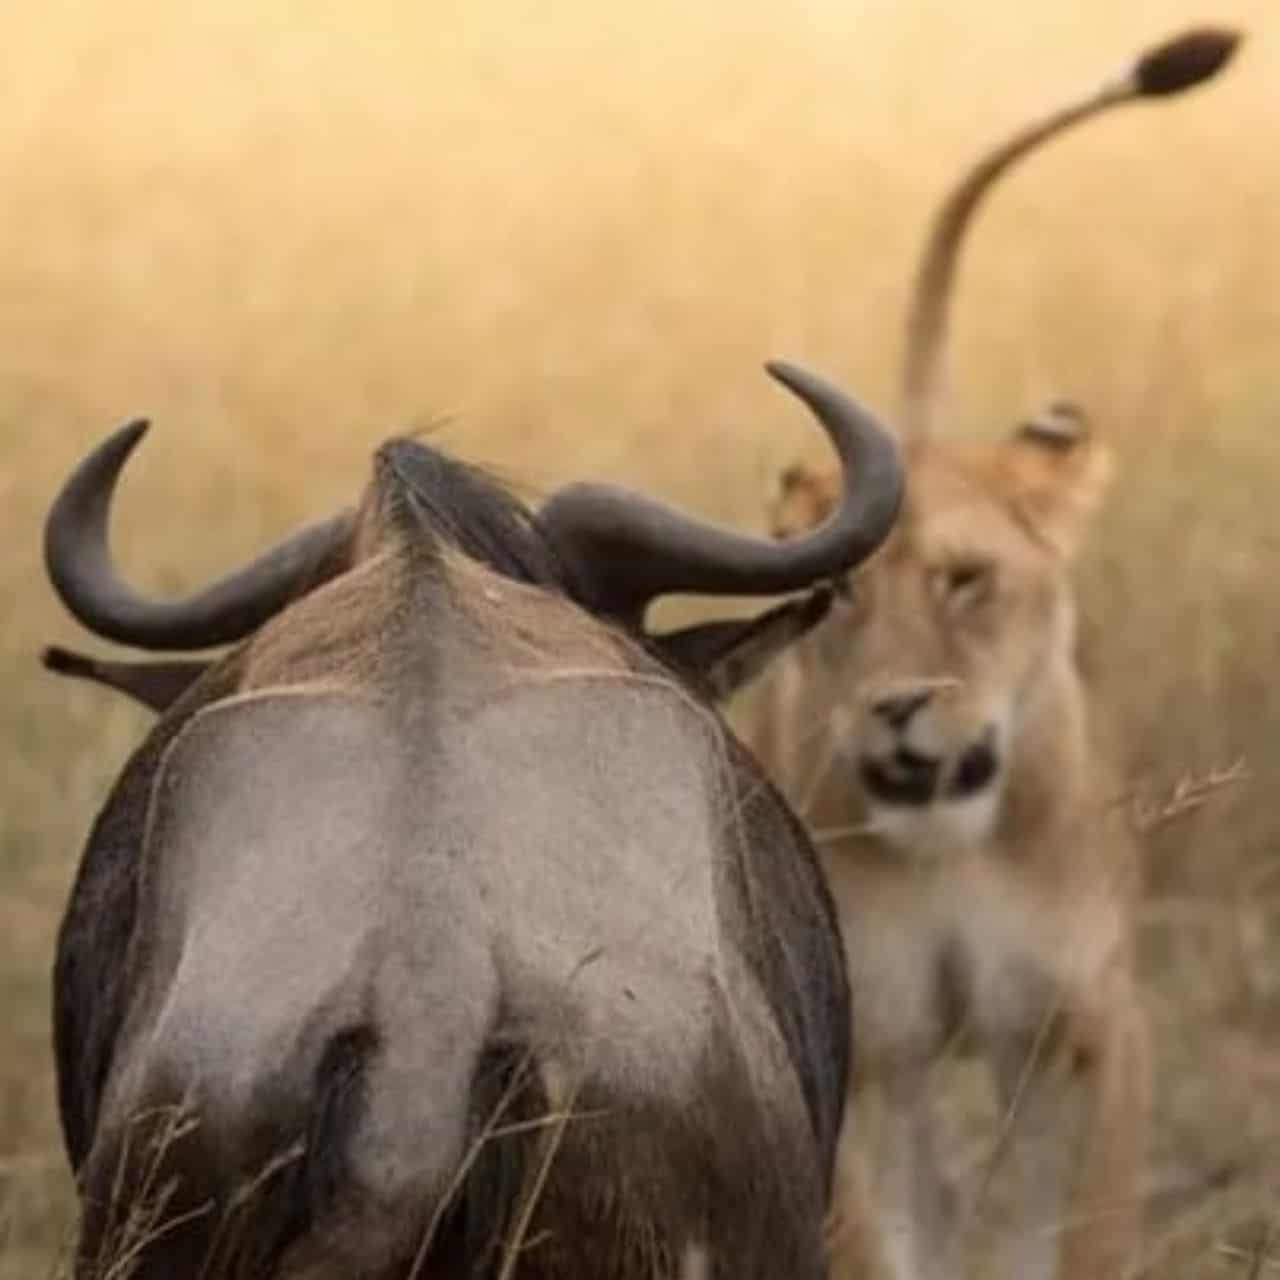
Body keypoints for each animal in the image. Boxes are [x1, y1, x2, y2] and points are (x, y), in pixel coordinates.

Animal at [748, 26, 1241, 1280]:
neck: (953, 852)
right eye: (837, 598)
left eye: (964, 581)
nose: (894, 707)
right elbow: (875, 1242)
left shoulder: (1092, 1030)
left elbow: (1081, 1234)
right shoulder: (862, 1045)